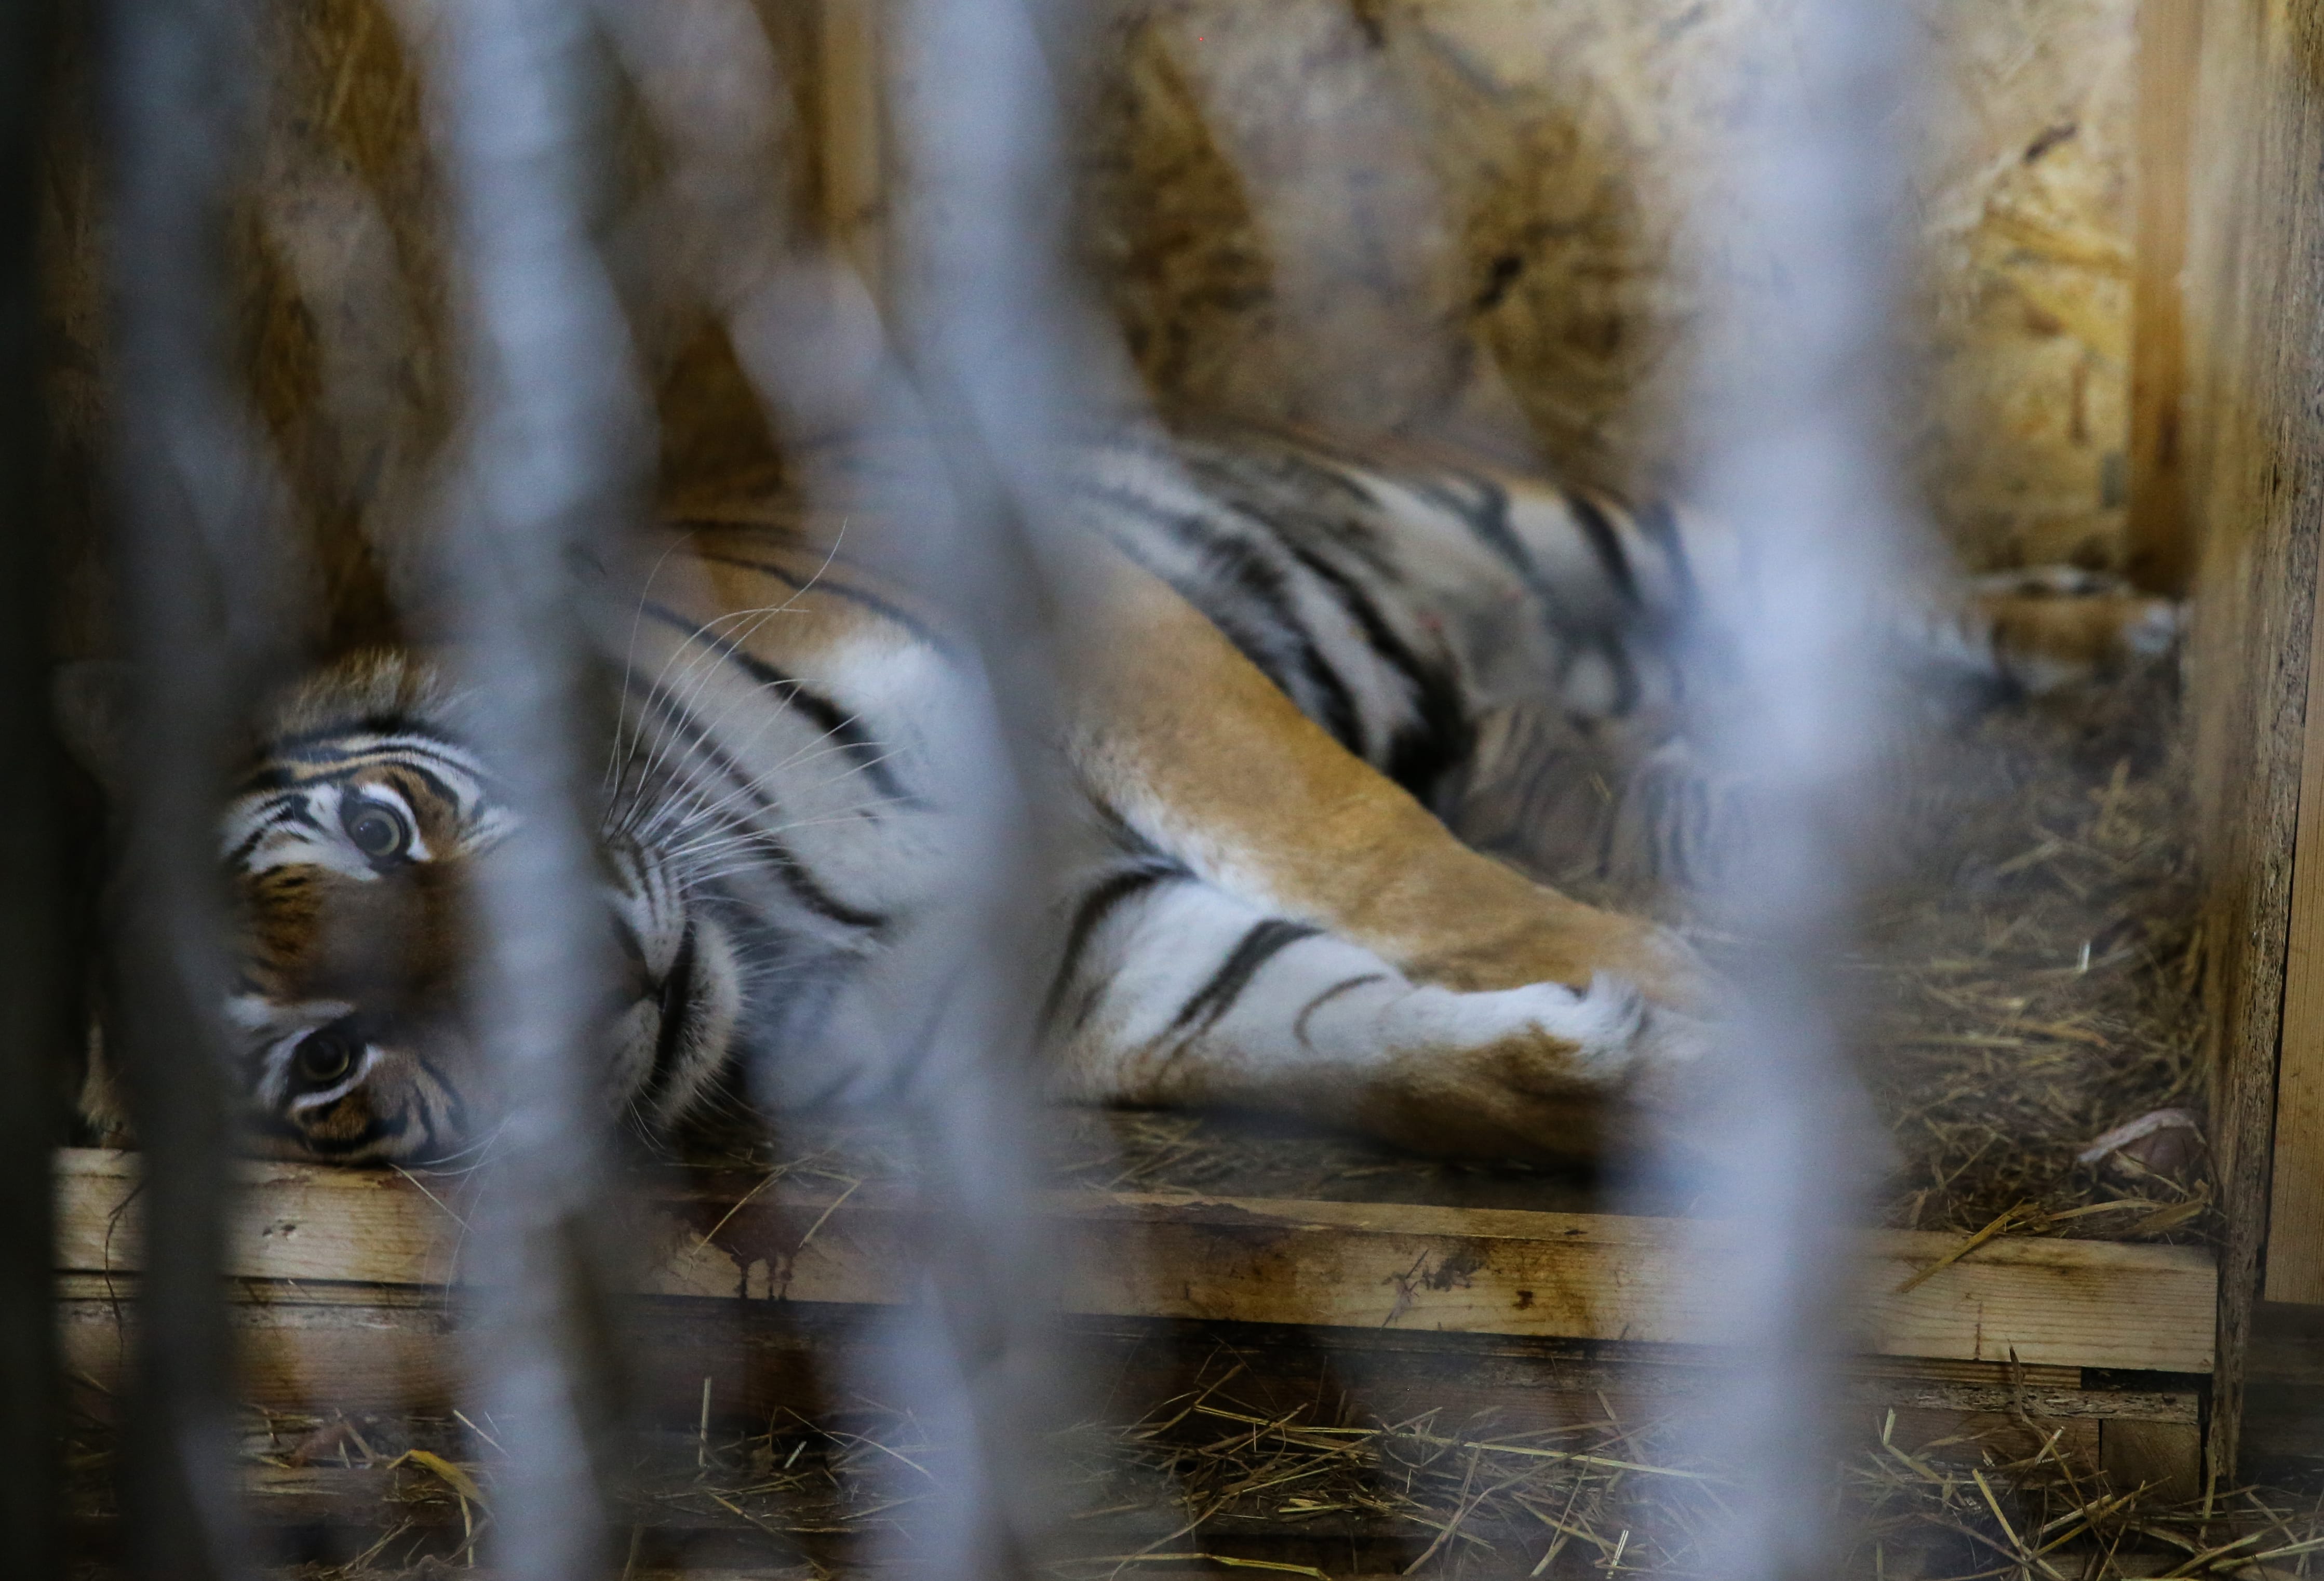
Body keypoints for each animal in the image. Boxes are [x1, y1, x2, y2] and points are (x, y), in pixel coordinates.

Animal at [59, 425, 2179, 1167]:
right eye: (327, 1063)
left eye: (385, 832)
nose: (584, 976)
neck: (768, 928)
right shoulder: (1091, 958)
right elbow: (1328, 1036)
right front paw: (1605, 1059)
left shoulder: (1082, 639)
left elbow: (1347, 844)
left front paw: (1664, 972)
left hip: (1578, 535)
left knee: (1849, 585)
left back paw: (2120, 631)